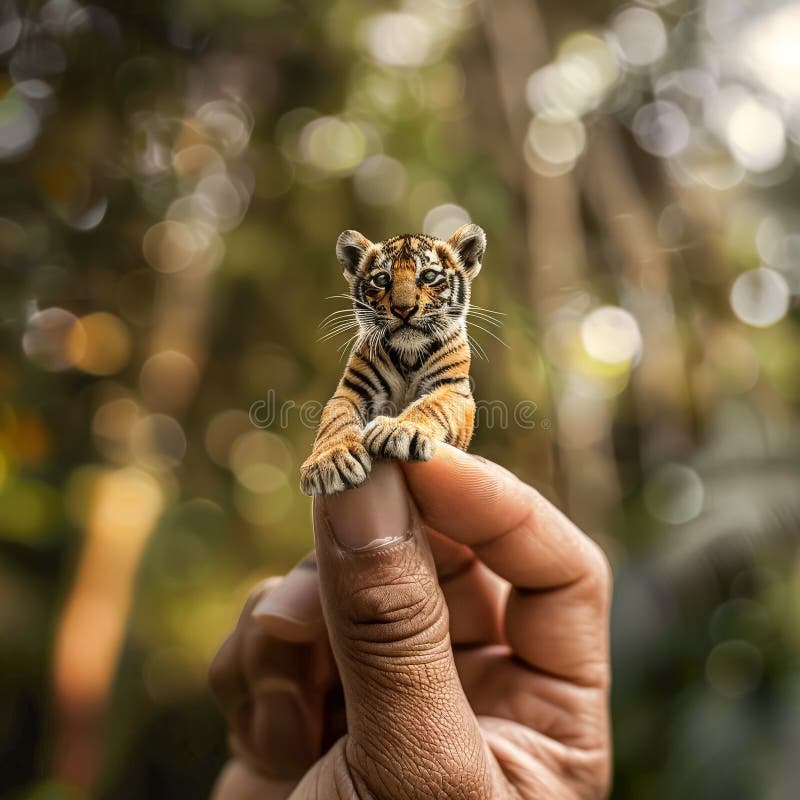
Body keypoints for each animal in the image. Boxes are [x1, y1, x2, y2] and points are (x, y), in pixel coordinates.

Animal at [299, 223, 486, 496]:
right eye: (382, 279)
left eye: (429, 276)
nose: (403, 309)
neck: (409, 354)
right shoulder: (352, 390)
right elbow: (335, 419)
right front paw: (330, 461)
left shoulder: (454, 390)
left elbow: (431, 405)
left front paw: (400, 431)